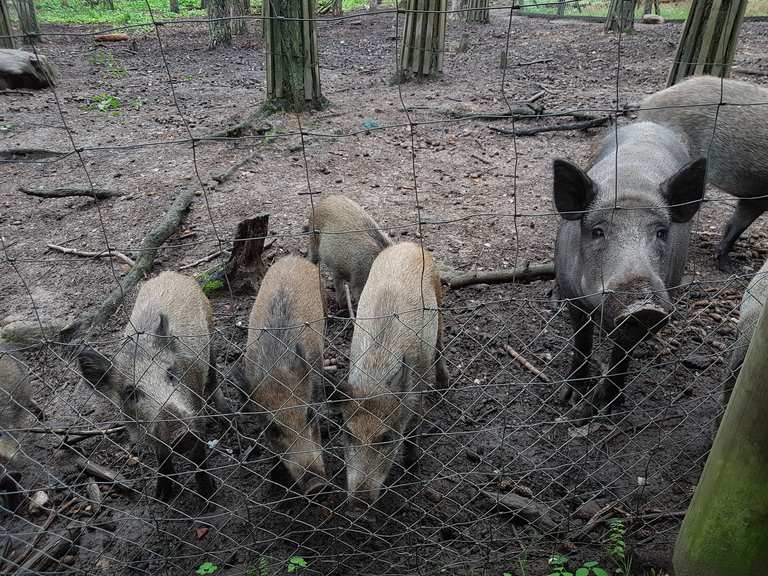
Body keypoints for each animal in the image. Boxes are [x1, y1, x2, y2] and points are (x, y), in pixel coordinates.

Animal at [78, 271, 228, 502]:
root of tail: (171, 273)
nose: (180, 433)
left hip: (210, 334)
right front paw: (163, 496)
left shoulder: (195, 412)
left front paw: (208, 497)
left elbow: (198, 455)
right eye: (130, 393)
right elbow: (161, 457)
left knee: (213, 380)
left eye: (171, 373)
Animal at [340, 242, 449, 516]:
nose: (357, 506)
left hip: (439, 298)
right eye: (348, 433)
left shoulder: (417, 398)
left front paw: (412, 470)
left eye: (385, 438)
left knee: (441, 344)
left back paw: (444, 385)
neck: (375, 377)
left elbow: (411, 435)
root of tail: (407, 245)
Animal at [554, 122, 706, 416]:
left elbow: (623, 351)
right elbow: (582, 341)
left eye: (661, 232)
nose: (644, 306)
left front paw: (612, 405)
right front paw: (571, 399)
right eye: (598, 231)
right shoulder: (572, 296)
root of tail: (651, 123)